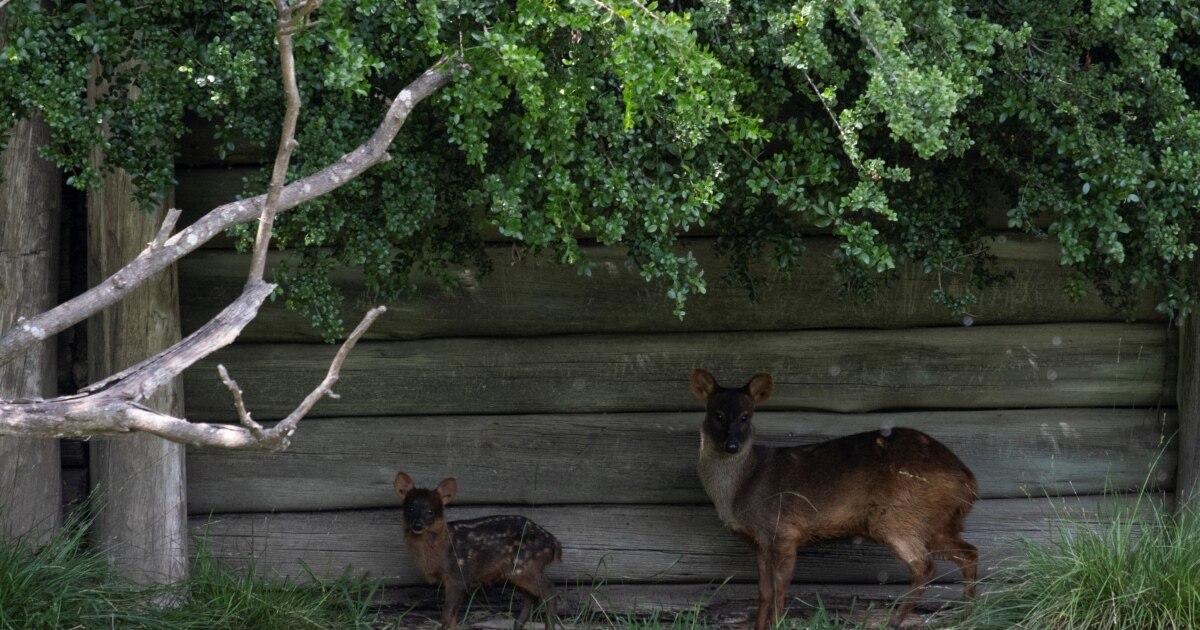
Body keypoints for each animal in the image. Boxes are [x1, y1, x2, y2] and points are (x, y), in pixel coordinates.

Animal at [393, 472, 562, 630]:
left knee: (549, 590)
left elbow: (447, 615)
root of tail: (554, 543)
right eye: (410, 509)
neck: (442, 550)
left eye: (430, 511)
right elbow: (453, 617)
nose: (417, 525)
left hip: (526, 565)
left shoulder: (458, 576)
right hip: (515, 572)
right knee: (530, 597)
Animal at [689, 369, 978, 630]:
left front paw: (778, 624)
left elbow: (780, 589)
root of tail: (969, 480)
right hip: (936, 520)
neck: (742, 488)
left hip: (899, 514)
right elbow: (764, 592)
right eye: (717, 415)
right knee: (969, 553)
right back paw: (966, 614)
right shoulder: (758, 542)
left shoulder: (785, 531)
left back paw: (896, 621)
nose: (732, 446)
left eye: (745, 417)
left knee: (925, 566)